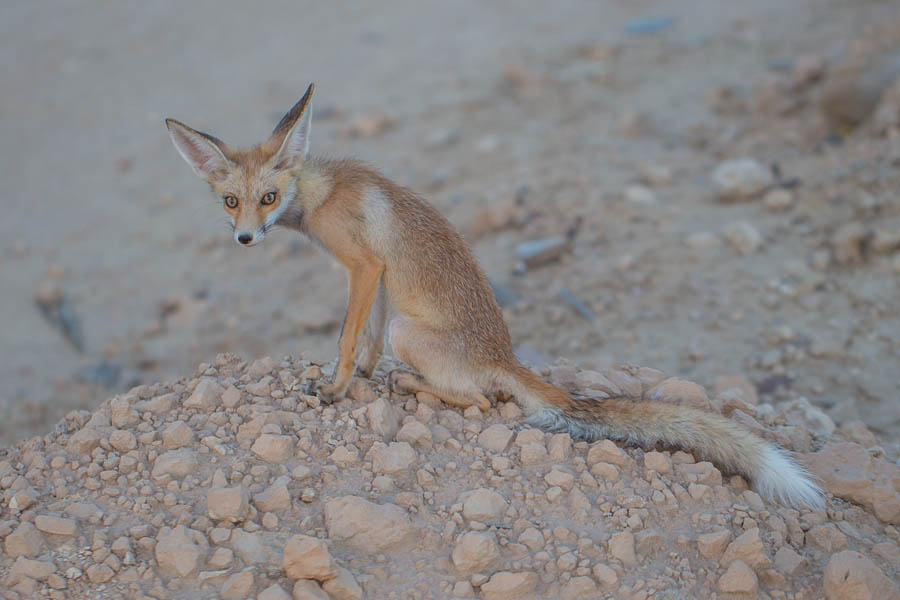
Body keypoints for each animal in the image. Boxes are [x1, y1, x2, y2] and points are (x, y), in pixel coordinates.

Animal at [165, 84, 824, 509]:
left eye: (269, 198)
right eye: (232, 202)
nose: (246, 237)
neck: (321, 194)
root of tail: (502, 356)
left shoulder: (365, 266)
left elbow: (351, 338)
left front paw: (337, 389)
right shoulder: (377, 281)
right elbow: (367, 338)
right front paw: (363, 379)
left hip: (414, 333)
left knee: (481, 400)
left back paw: (415, 384)